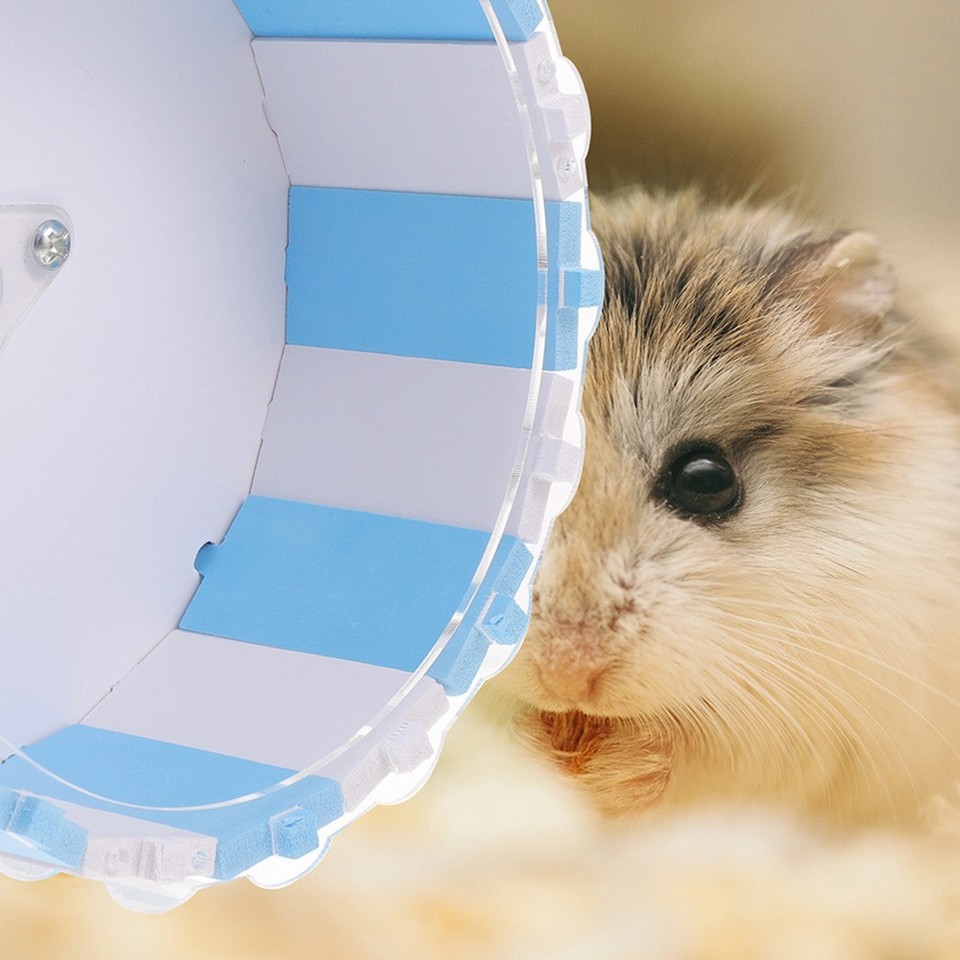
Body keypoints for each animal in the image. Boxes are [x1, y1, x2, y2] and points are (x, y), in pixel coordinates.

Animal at [493, 188, 960, 827]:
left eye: (707, 481)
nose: (566, 675)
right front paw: (537, 744)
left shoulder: (828, 717)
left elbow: (709, 758)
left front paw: (613, 770)